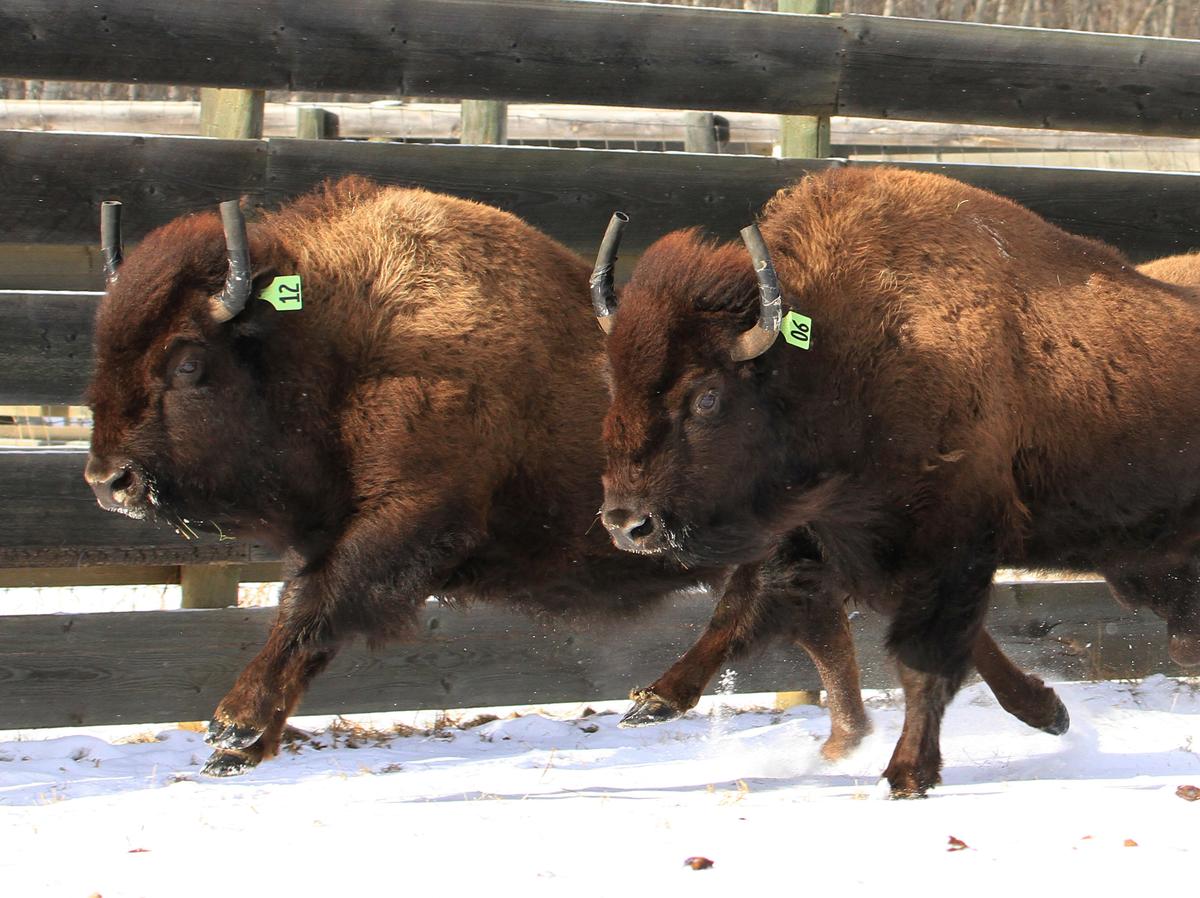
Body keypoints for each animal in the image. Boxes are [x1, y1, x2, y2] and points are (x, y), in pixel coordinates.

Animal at [87, 178, 892, 773]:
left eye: (188, 361)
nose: (107, 481)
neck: (341, 339)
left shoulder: (413, 517)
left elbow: (313, 606)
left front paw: (231, 728)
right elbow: (307, 608)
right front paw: (244, 746)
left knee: (769, 607)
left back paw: (663, 702)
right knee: (805, 614)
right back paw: (838, 740)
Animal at [592, 164, 1200, 797]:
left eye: (707, 396)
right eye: (611, 379)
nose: (627, 523)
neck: (839, 351)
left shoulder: (950, 545)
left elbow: (924, 659)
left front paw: (908, 774)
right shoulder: (830, 537)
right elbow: (743, 608)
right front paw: (653, 700)